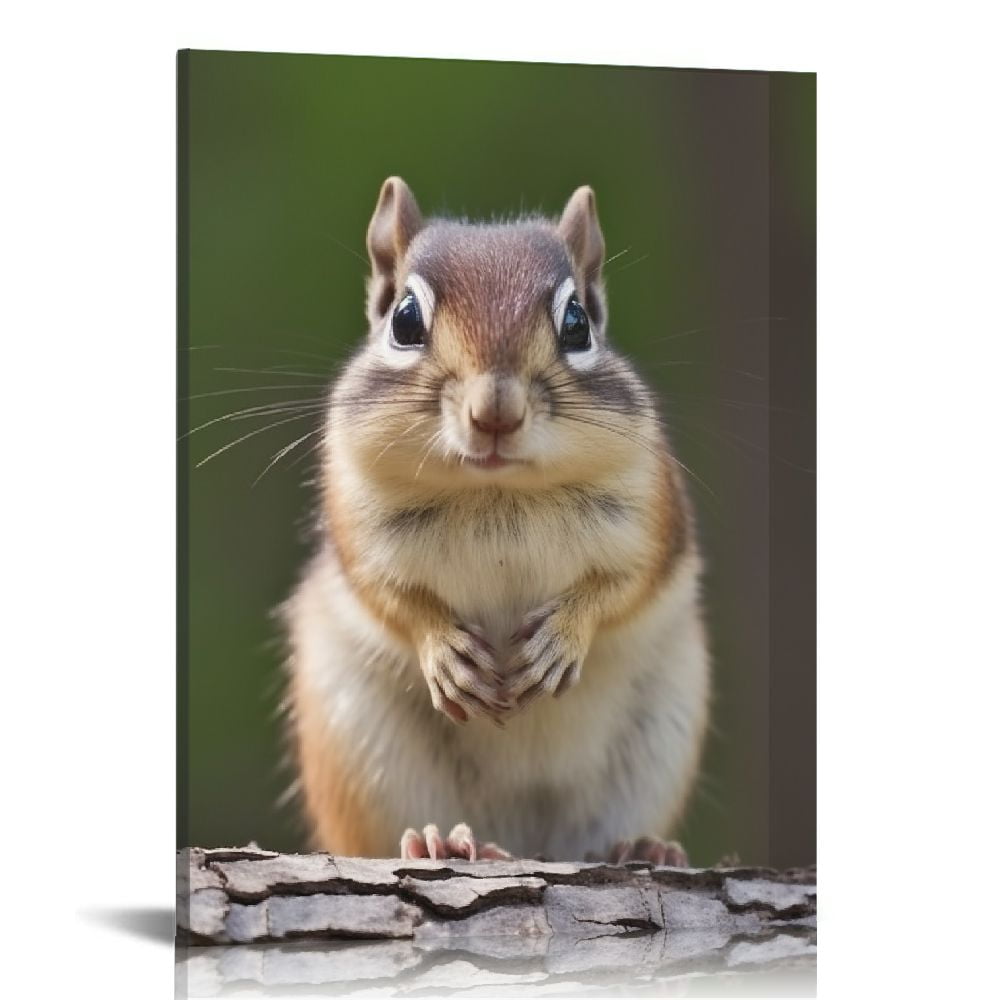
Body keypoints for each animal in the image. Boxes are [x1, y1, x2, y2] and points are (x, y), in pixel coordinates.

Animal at [282, 177, 710, 865]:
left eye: (577, 323)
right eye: (405, 320)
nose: (495, 412)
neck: (496, 492)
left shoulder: (654, 524)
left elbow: (621, 587)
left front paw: (563, 637)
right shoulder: (357, 532)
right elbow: (390, 597)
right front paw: (443, 652)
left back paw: (643, 848)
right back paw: (443, 842)